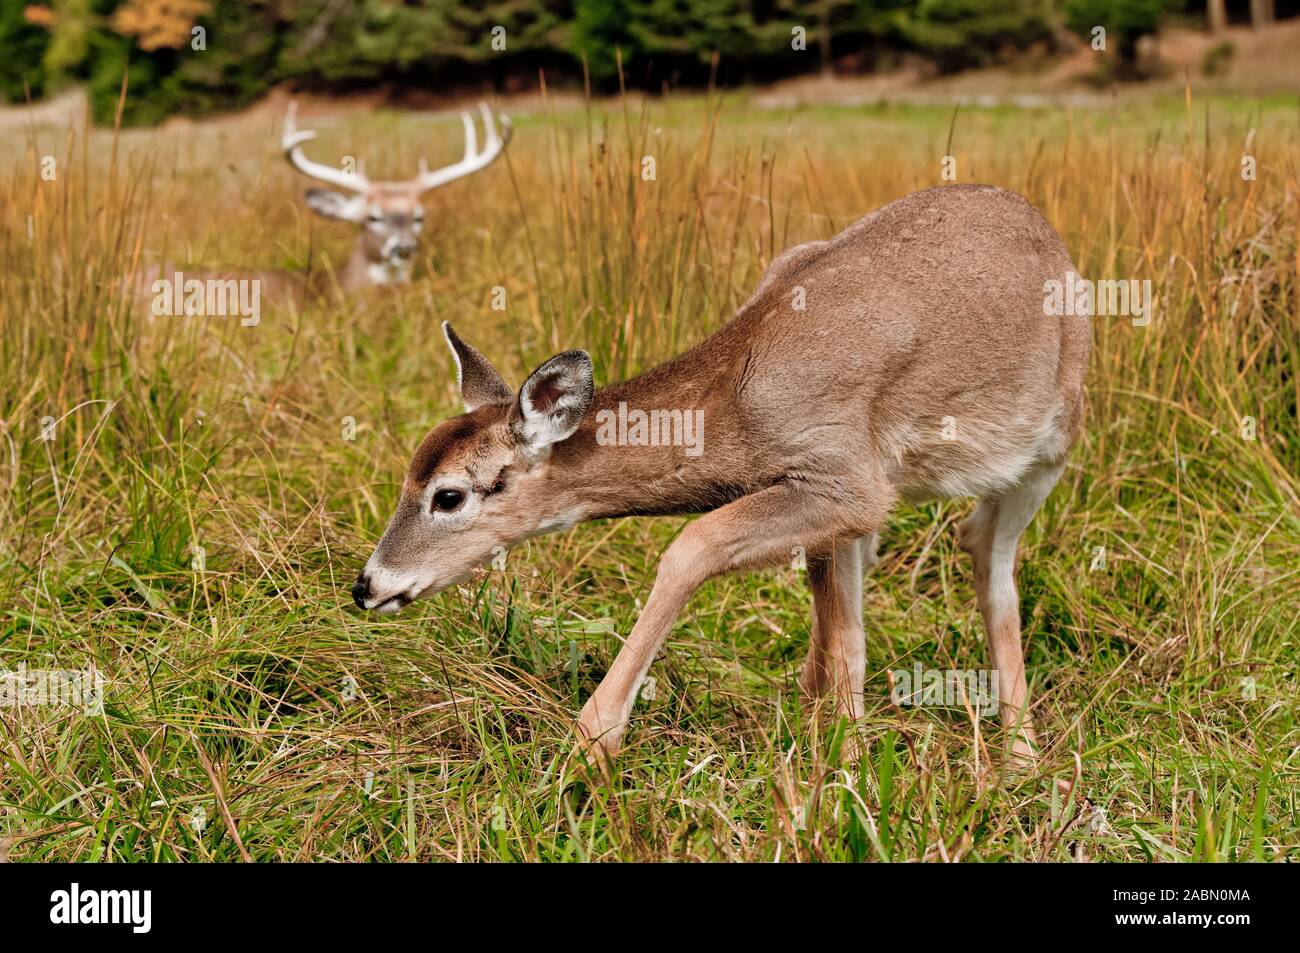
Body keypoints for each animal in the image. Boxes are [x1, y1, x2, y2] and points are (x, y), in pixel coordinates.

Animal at [351, 183, 1090, 770]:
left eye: (449, 495)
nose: (368, 586)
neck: (737, 401)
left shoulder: (843, 476)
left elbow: (693, 546)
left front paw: (593, 739)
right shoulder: (848, 496)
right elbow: (843, 634)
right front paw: (836, 757)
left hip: (1051, 442)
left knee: (989, 552)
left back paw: (1021, 755)